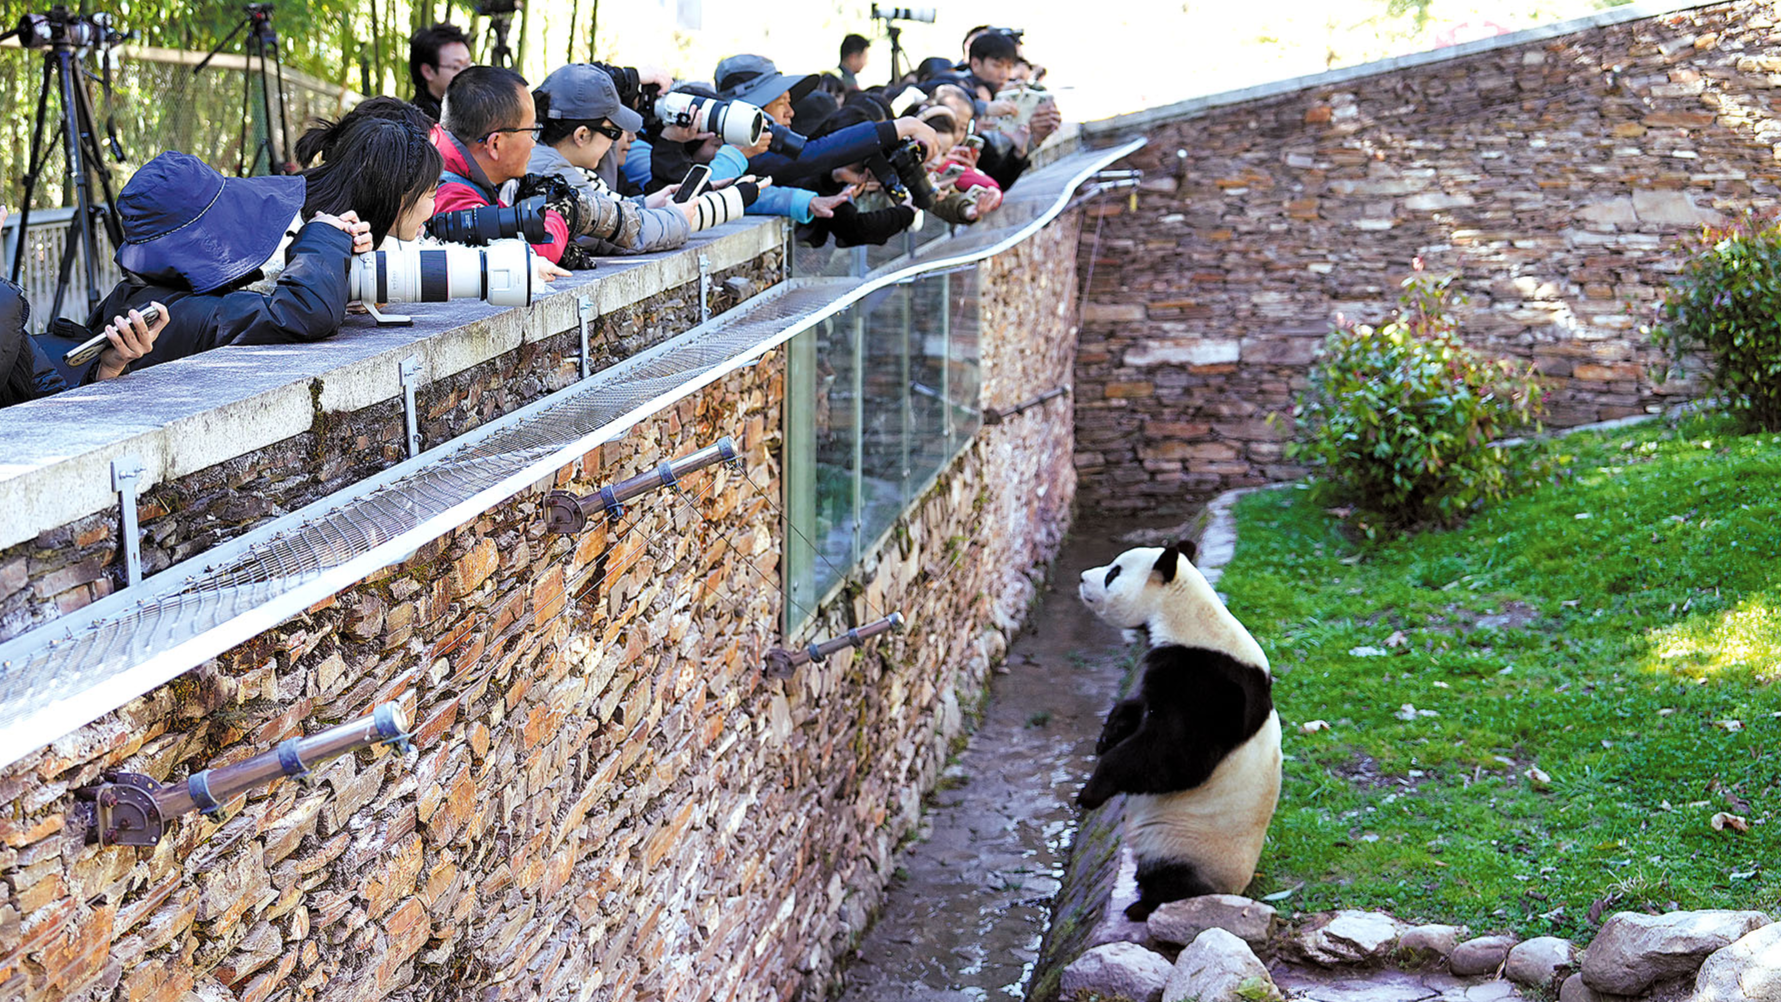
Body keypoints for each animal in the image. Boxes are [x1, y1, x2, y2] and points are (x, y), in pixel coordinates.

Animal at [1076, 539, 1282, 921]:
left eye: (1113, 573)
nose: (1083, 577)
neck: (1185, 614)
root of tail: (1235, 889)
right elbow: (1138, 708)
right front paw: (1108, 735)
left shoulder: (1207, 684)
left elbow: (1178, 757)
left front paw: (1091, 792)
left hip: (1187, 840)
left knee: (1170, 873)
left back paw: (1146, 905)